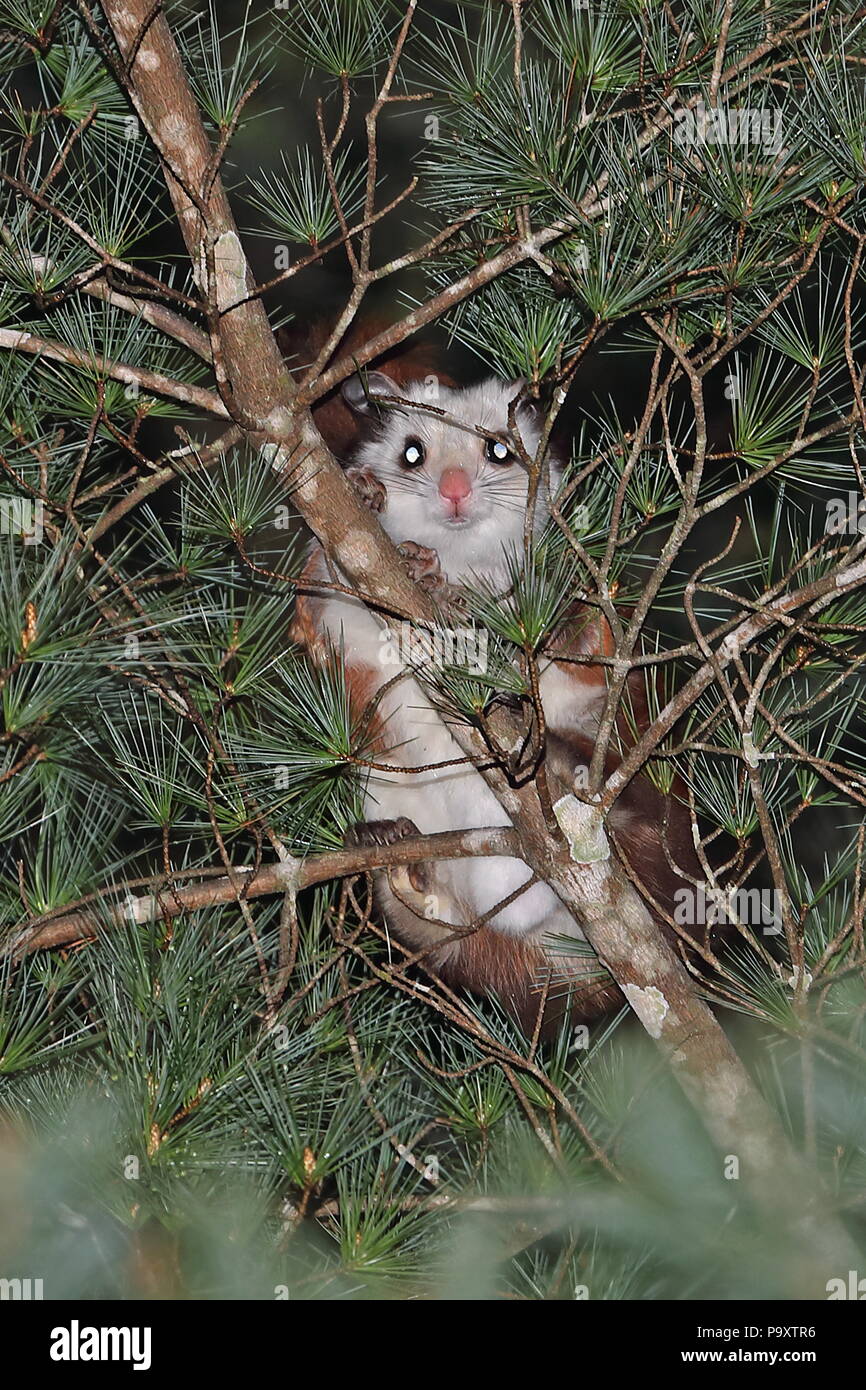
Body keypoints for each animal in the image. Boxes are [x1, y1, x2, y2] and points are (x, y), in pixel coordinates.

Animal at [285, 320, 705, 1034]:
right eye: (412, 453)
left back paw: (569, 771)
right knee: (447, 925)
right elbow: (334, 602)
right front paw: (372, 503)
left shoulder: (579, 622)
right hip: (391, 796)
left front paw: (503, 609)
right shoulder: (342, 618)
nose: (454, 491)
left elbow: (580, 647)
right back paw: (403, 869)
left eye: (500, 450)